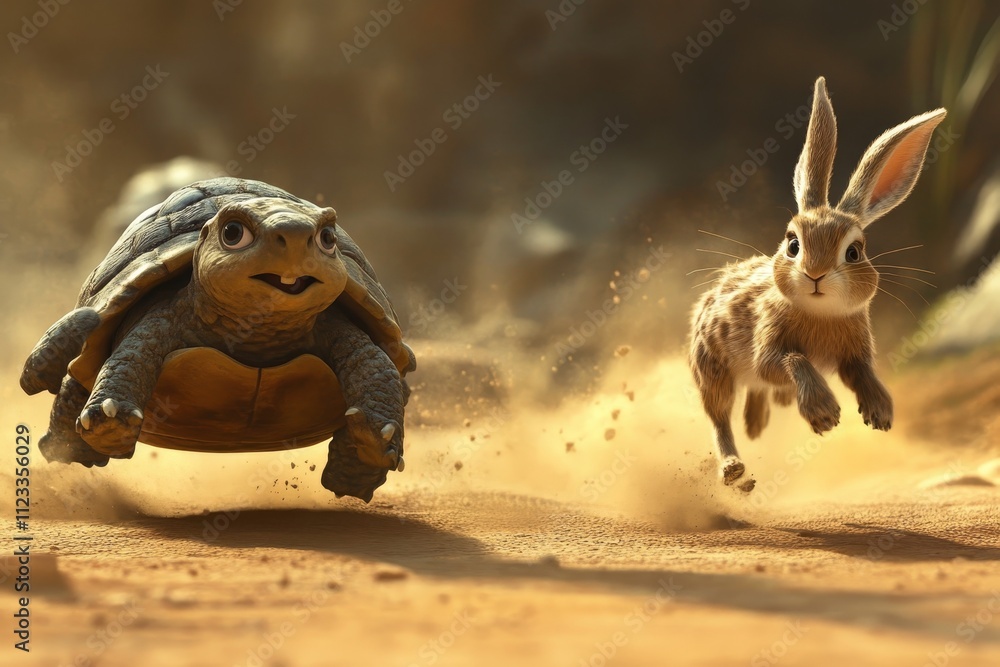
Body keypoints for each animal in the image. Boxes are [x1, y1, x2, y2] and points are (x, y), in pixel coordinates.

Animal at [689, 77, 946, 492]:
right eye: (793, 244)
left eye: (854, 252)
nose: (815, 273)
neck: (820, 313)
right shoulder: (769, 348)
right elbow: (792, 360)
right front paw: (824, 414)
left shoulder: (855, 352)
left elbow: (862, 373)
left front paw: (880, 412)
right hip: (711, 365)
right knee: (719, 417)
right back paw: (735, 472)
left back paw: (757, 424)